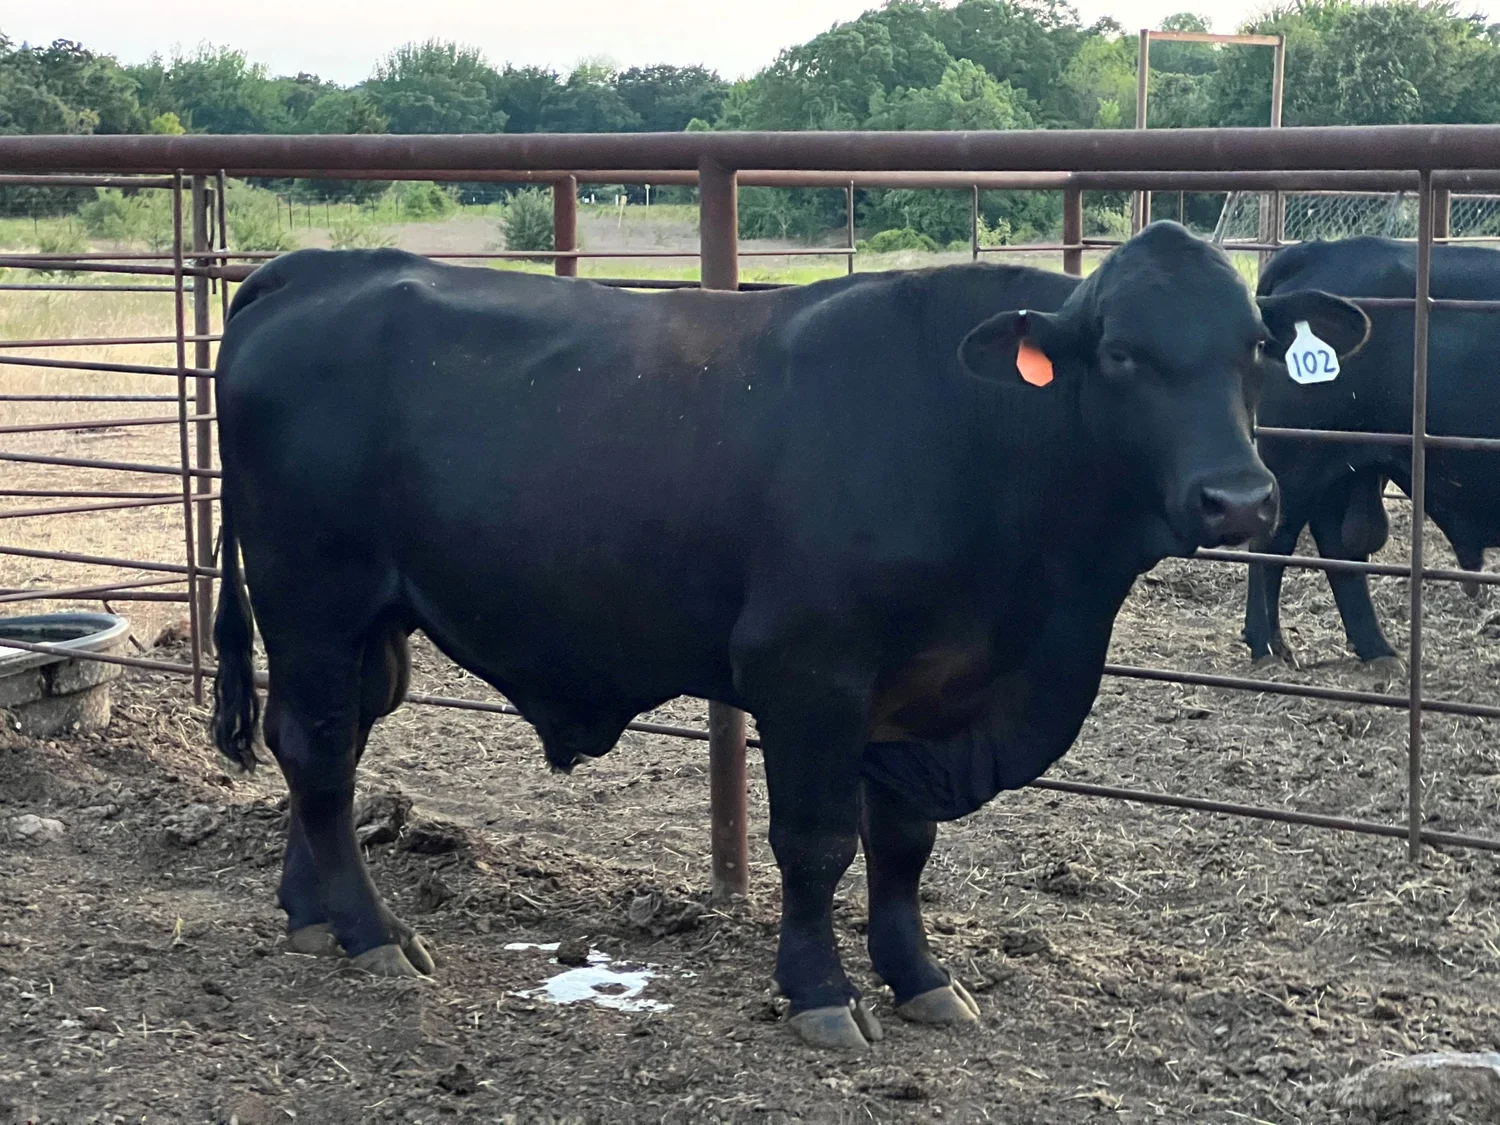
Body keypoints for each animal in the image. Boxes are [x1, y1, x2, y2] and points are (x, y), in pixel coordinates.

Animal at [210, 222, 1367, 1050]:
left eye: (1257, 350)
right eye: (1123, 355)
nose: (1239, 499)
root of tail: (316, 270)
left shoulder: (923, 694)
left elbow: (902, 848)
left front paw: (921, 978)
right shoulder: (808, 673)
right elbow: (817, 844)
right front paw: (819, 993)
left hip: (371, 628)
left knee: (323, 745)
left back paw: (310, 910)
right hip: (315, 596)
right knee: (318, 748)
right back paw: (370, 933)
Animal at [1245, 236, 1497, 674]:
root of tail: (1321, 249)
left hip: (1348, 470)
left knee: (1339, 550)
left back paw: (1376, 651)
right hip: (1299, 460)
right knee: (1273, 542)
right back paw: (1269, 648)